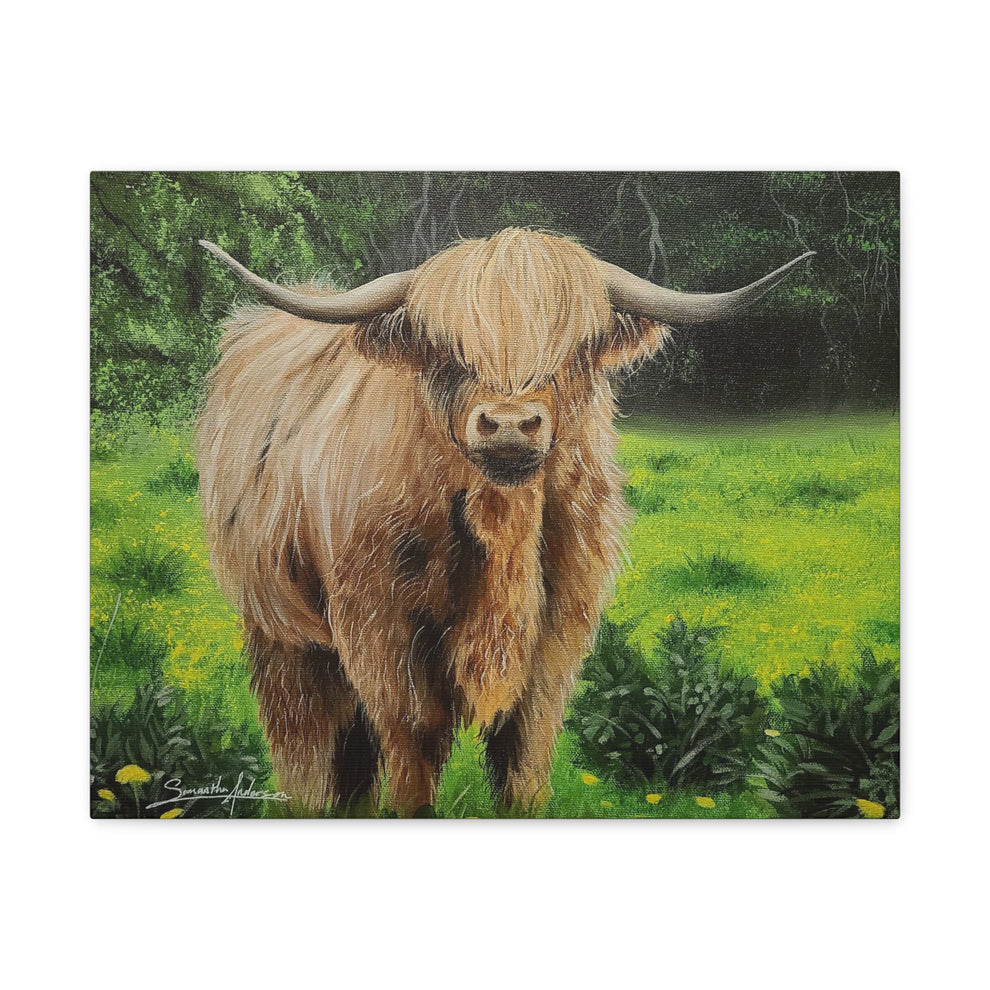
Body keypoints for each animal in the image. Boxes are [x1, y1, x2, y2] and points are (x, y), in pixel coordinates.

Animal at [197, 228, 811, 816]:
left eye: (573, 349)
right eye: (448, 351)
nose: (511, 425)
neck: (502, 529)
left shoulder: (562, 618)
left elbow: (526, 736)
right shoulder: (374, 619)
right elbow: (411, 731)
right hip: (280, 626)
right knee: (304, 730)